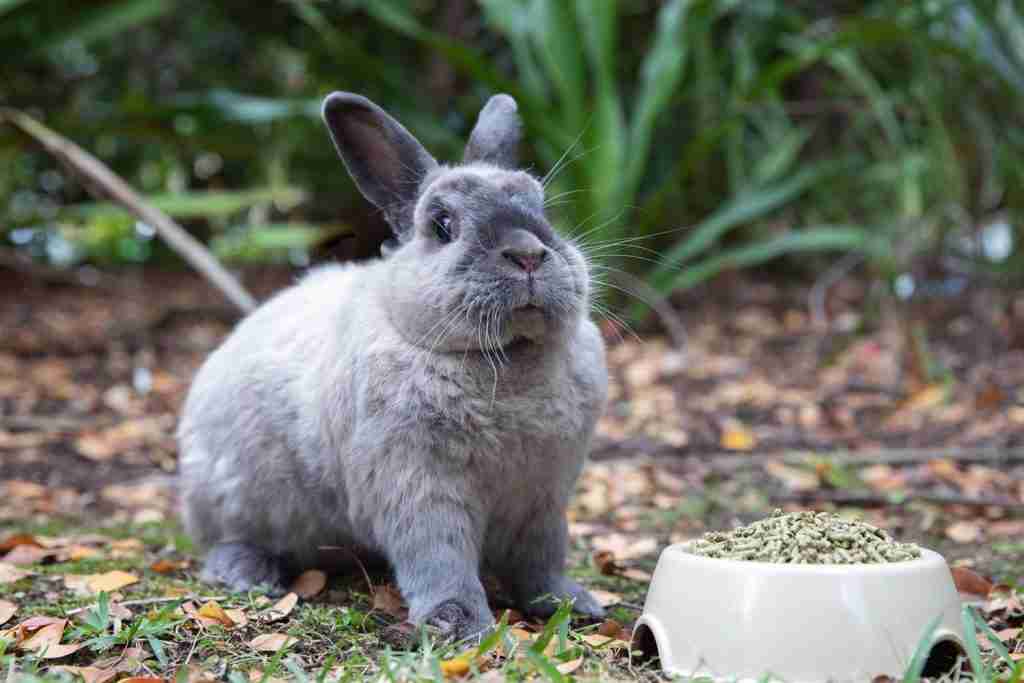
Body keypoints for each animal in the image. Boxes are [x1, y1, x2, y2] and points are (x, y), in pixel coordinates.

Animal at [176, 91, 609, 641]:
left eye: (542, 208)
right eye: (442, 225)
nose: (529, 254)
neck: (505, 358)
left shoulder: (542, 498)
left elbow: (540, 561)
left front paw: (571, 603)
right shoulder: (418, 488)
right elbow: (439, 558)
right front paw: (459, 623)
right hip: (231, 500)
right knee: (225, 542)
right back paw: (250, 575)